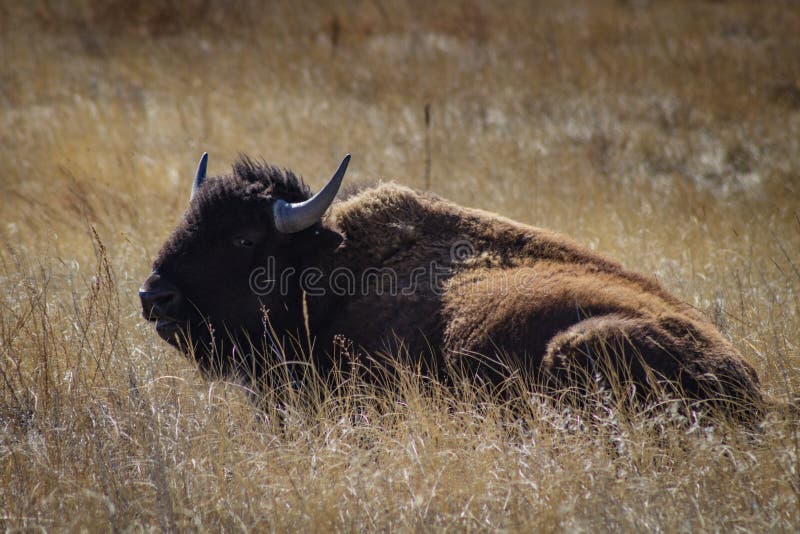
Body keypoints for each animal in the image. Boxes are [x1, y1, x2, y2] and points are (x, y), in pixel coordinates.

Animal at [140, 153, 764, 419]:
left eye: (244, 239)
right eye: (185, 222)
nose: (154, 298)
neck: (331, 270)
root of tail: (741, 376)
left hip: (580, 345)